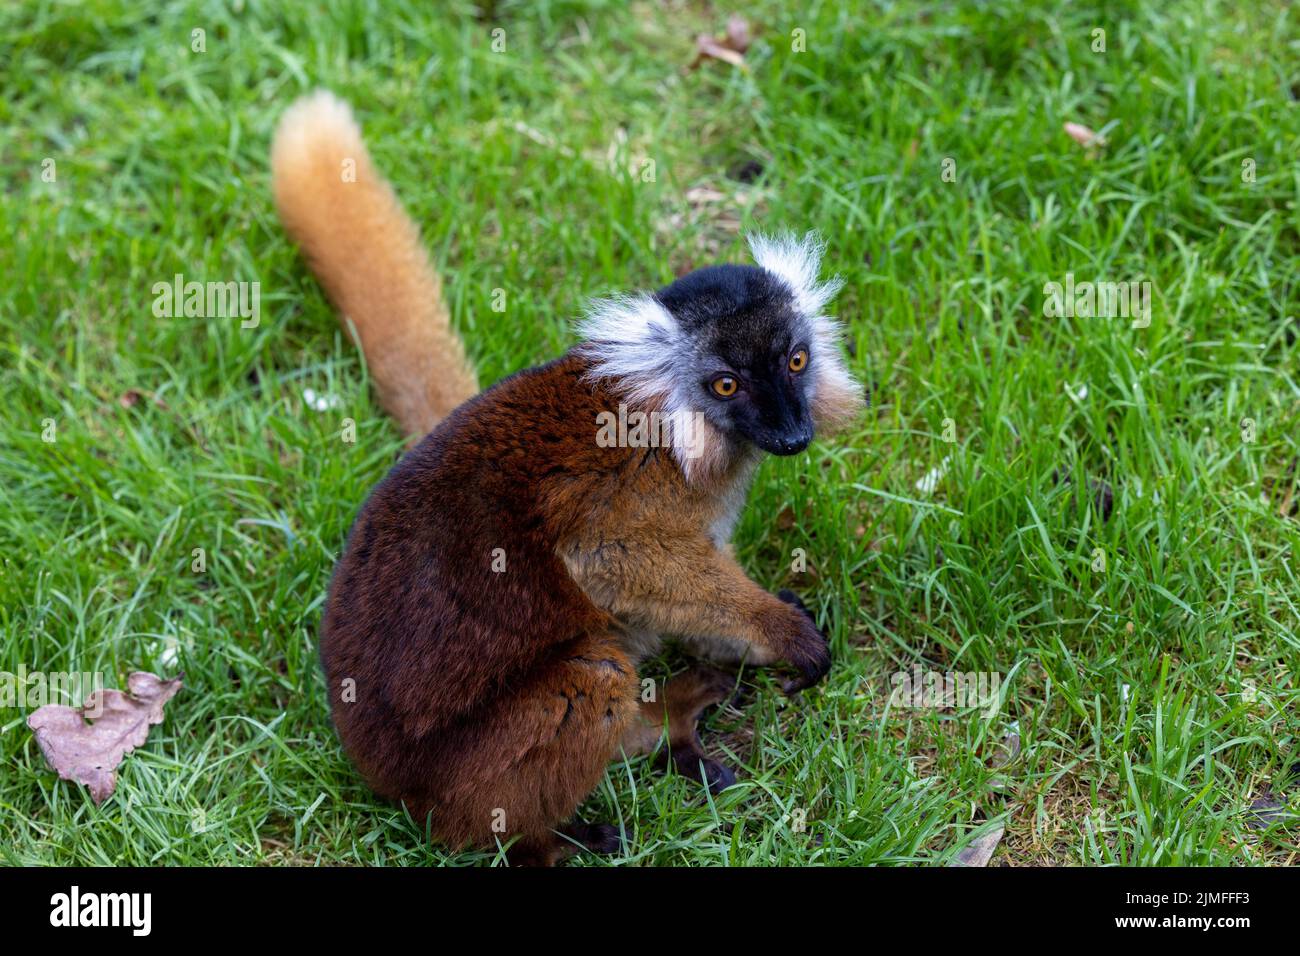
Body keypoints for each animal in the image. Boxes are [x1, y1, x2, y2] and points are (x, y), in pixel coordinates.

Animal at [270, 90, 864, 865]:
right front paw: (776, 631)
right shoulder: (631, 488)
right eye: (727, 384)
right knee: (594, 676)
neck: (671, 416)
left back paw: (660, 729)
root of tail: (385, 777)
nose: (793, 433)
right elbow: (611, 559)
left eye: (796, 361)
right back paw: (543, 838)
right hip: (461, 780)